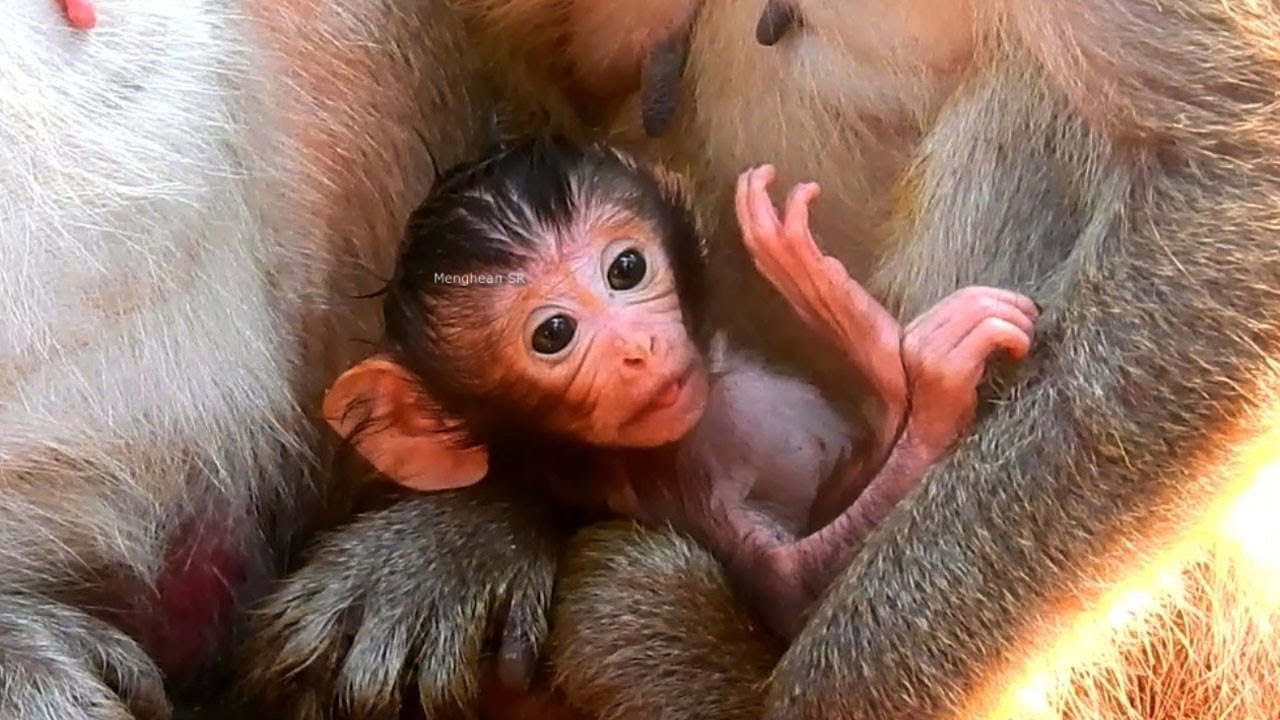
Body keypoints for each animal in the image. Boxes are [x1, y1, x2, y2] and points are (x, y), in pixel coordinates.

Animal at [318, 136, 1040, 640]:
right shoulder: (670, 491)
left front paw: (828, 297)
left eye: (626, 268)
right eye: (553, 333)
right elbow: (795, 599)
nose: (636, 349)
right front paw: (926, 382)